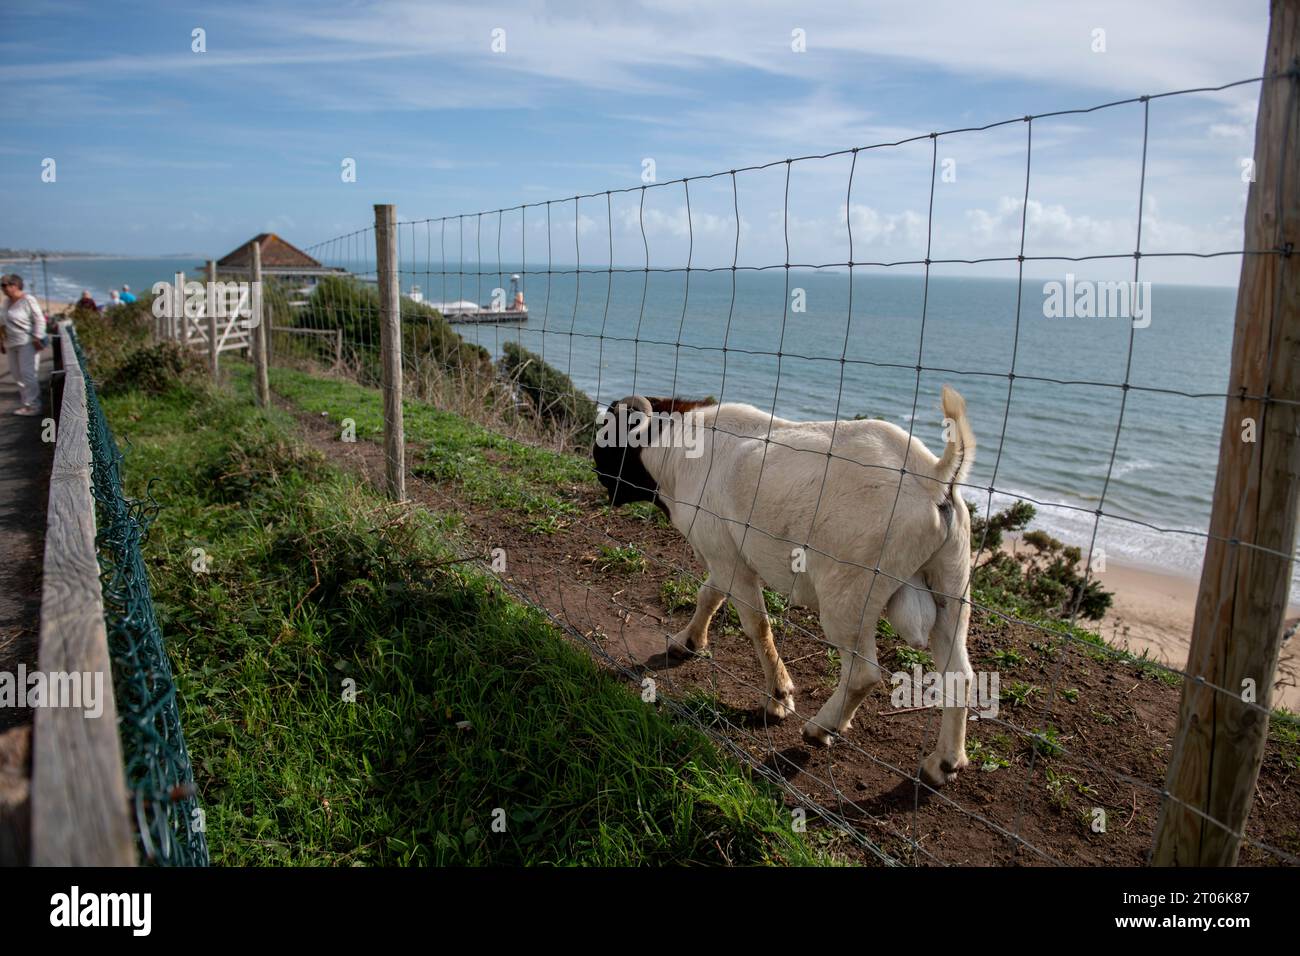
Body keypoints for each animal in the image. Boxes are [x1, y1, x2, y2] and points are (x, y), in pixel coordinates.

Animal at [593, 387, 975, 787]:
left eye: (611, 431)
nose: (597, 471)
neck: (674, 447)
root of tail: (932, 479)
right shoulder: (726, 555)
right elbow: (708, 595)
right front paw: (687, 642)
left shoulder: (728, 559)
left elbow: (757, 626)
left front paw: (777, 699)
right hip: (951, 584)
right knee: (959, 675)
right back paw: (943, 763)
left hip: (849, 593)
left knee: (862, 674)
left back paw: (820, 729)